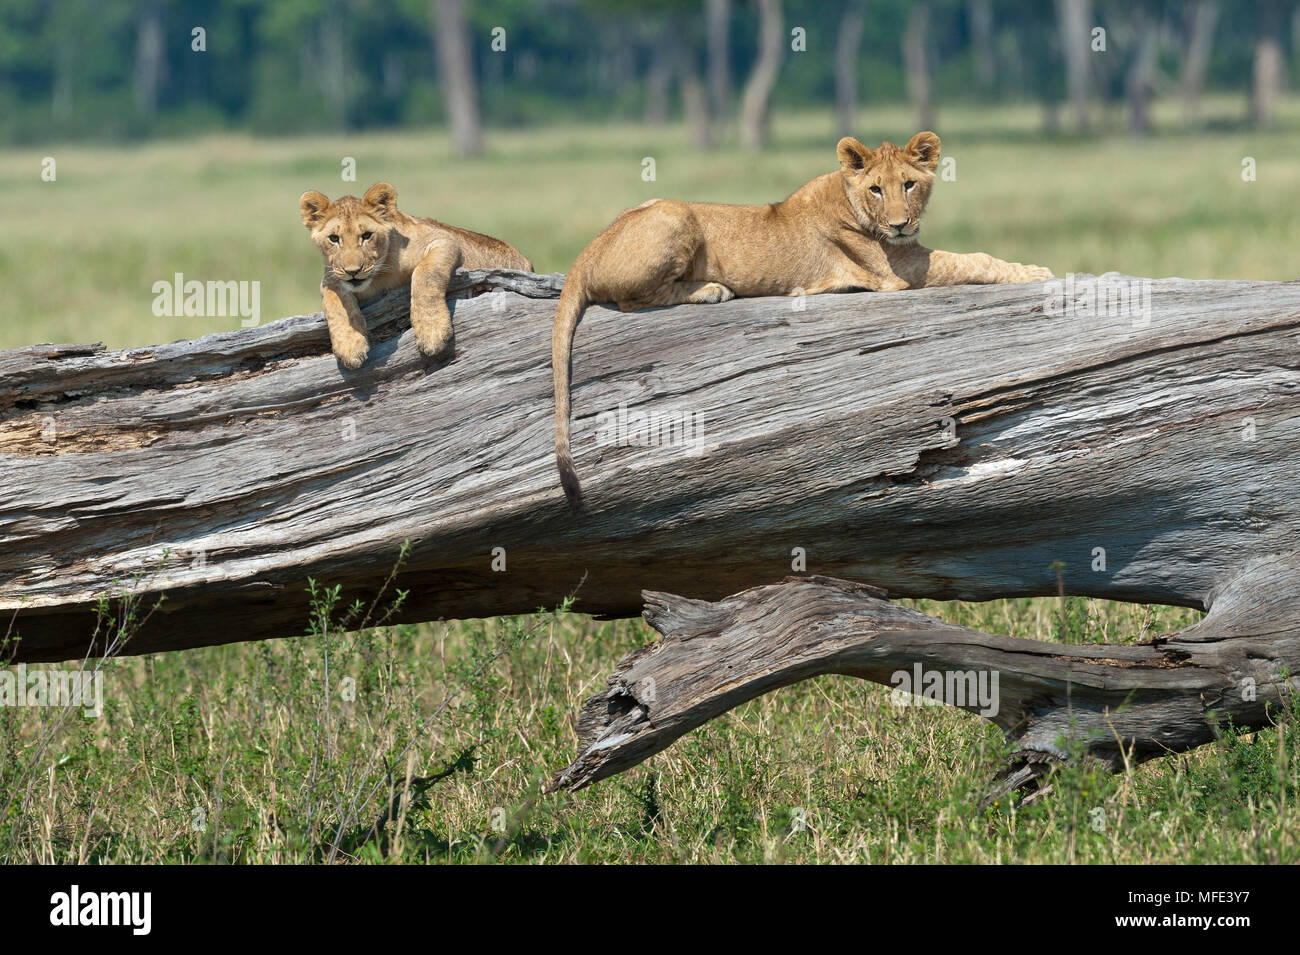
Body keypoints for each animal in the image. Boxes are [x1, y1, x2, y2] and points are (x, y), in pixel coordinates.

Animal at [299, 181, 533, 369]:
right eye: (334, 238)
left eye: (366, 235)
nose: (353, 271)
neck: (379, 278)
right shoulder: (332, 276)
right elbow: (334, 302)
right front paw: (350, 346)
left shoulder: (444, 239)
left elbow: (425, 273)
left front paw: (432, 333)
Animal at [551, 131, 1052, 498]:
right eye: (877, 189)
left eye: (909, 184)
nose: (898, 225)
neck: (850, 198)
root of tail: (590, 247)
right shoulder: (900, 270)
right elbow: (974, 260)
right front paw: (1036, 271)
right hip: (675, 212)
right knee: (632, 300)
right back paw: (713, 290)